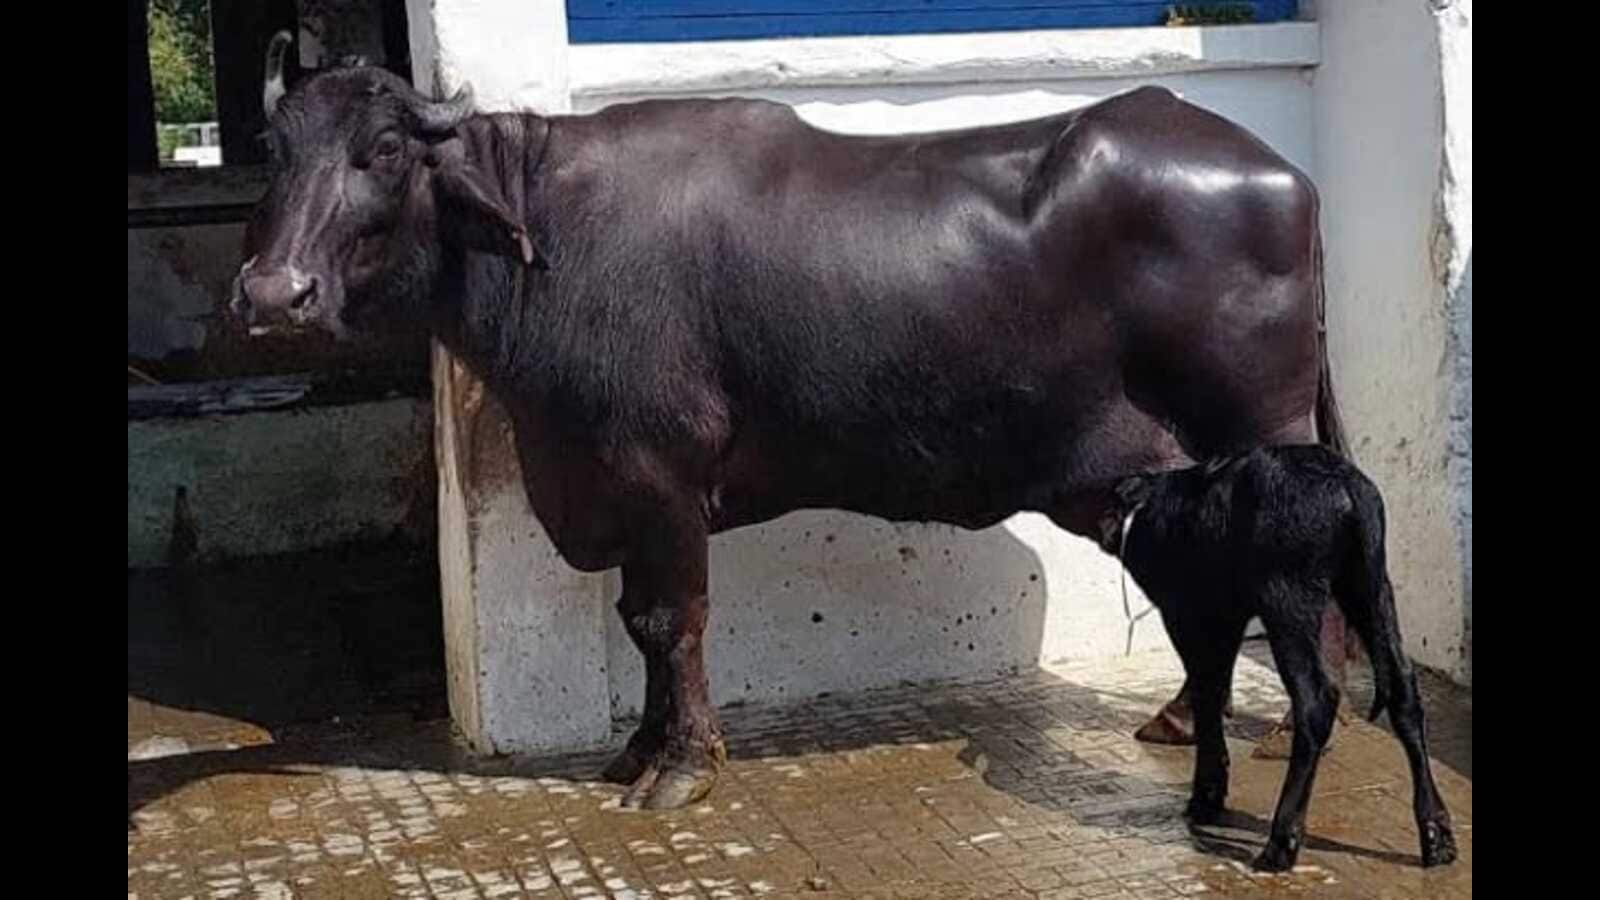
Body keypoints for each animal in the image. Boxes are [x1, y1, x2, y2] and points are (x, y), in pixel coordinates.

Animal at [233, 32, 1351, 810]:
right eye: (274, 152)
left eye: (383, 148)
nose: (274, 293)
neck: (547, 241)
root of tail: (1284, 178)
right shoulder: (622, 489)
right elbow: (640, 628)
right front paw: (639, 748)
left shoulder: (658, 477)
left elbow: (668, 621)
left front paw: (682, 766)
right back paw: (1180, 715)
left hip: (1260, 434)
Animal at [1096, 446, 1457, 871]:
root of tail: (1346, 486)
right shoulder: (1225, 619)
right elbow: (1213, 691)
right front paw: (1210, 792)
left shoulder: (1188, 616)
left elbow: (1205, 691)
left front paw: (1204, 796)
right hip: (1370, 589)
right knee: (1403, 691)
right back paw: (1436, 835)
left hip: (1288, 600)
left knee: (1315, 700)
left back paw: (1281, 841)